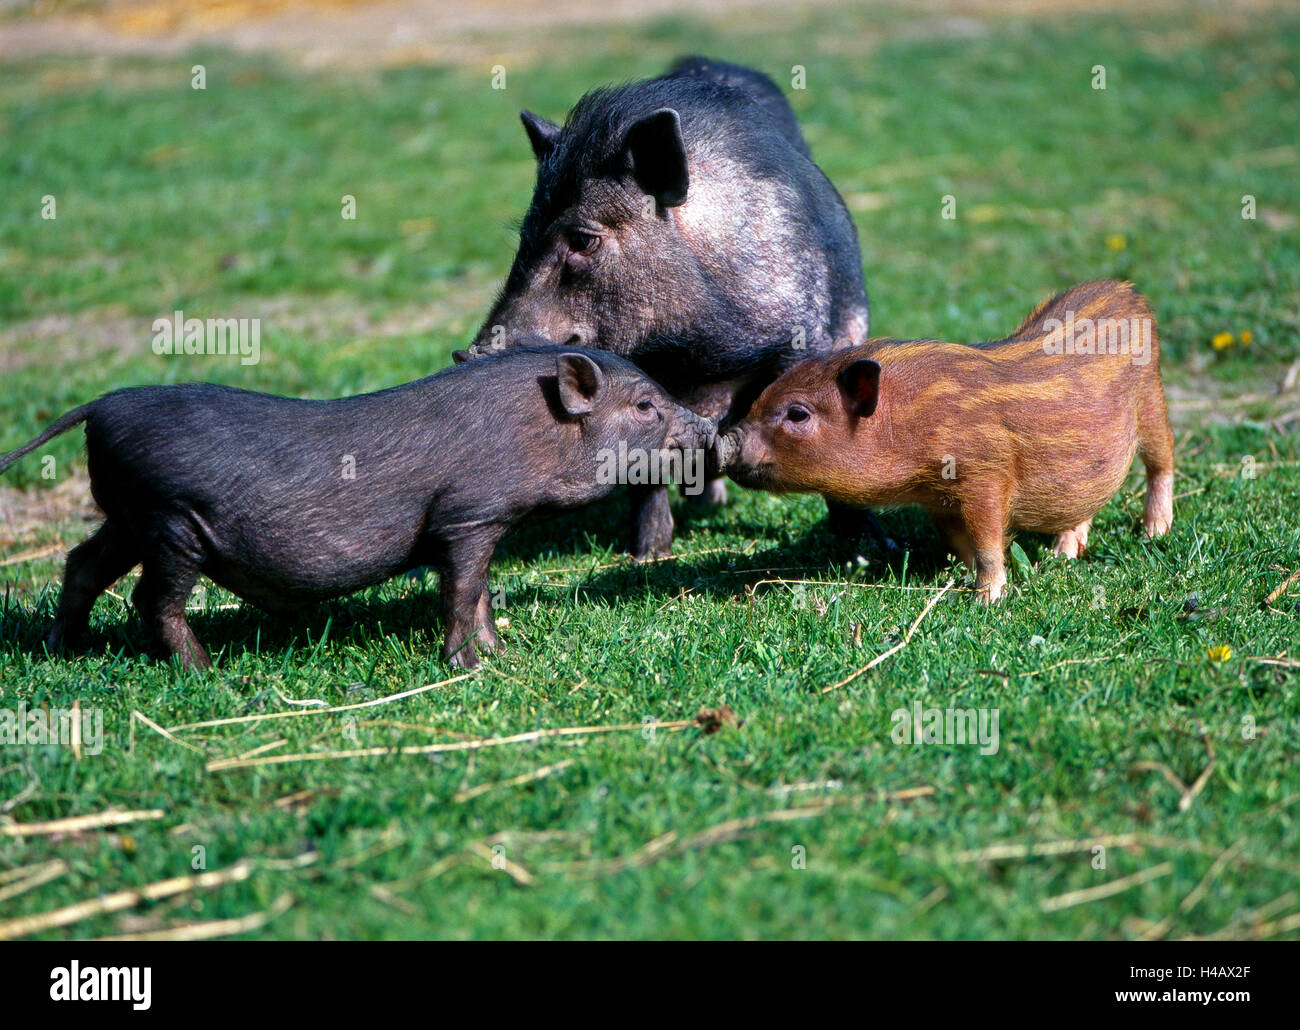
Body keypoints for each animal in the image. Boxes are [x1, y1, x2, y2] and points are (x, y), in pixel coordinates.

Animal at [0, 344, 715, 669]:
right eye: (646, 405)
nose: (708, 425)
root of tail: (103, 405)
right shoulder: (467, 516)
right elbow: (463, 591)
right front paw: (470, 666)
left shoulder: (481, 525)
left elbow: (481, 592)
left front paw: (502, 654)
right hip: (171, 523)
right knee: (151, 599)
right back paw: (207, 673)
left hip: (127, 518)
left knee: (81, 564)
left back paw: (61, 650)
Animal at [454, 55, 872, 558]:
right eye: (524, 237)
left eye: (582, 239)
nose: (470, 352)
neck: (700, 354)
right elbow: (645, 468)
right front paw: (649, 554)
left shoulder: (806, 339)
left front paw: (867, 549)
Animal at [715, 281, 1175, 602]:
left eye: (798, 414)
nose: (722, 440)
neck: (911, 420)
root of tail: (1127, 290)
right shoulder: (936, 500)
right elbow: (958, 541)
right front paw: (957, 575)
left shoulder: (985, 477)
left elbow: (988, 542)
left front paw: (985, 600)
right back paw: (1063, 555)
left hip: (1152, 399)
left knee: (1163, 460)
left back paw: (1154, 533)